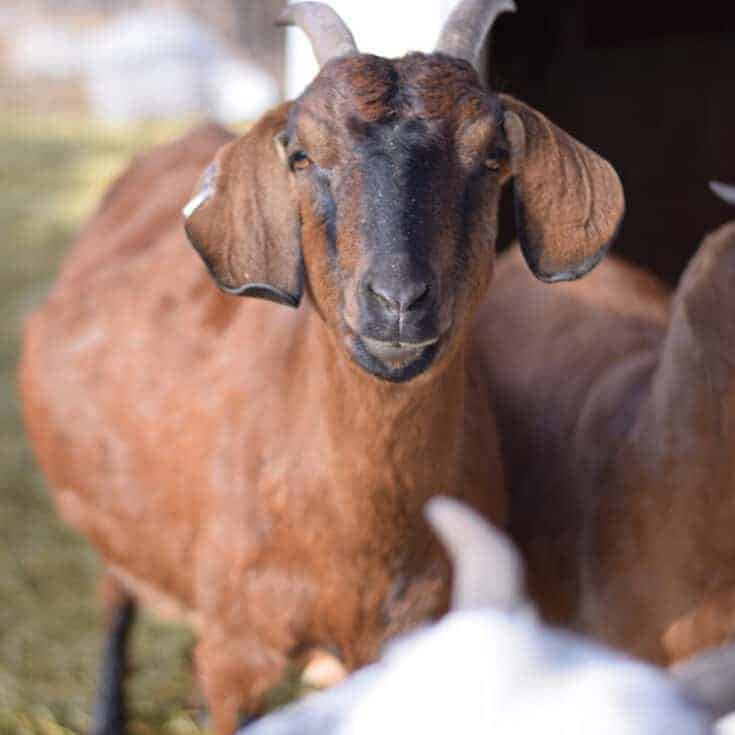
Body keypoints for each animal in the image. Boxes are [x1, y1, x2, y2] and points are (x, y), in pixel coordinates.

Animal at [19, 1, 624, 732]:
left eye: (494, 154)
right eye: (302, 155)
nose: (398, 302)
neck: (359, 541)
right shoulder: (238, 652)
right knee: (115, 595)